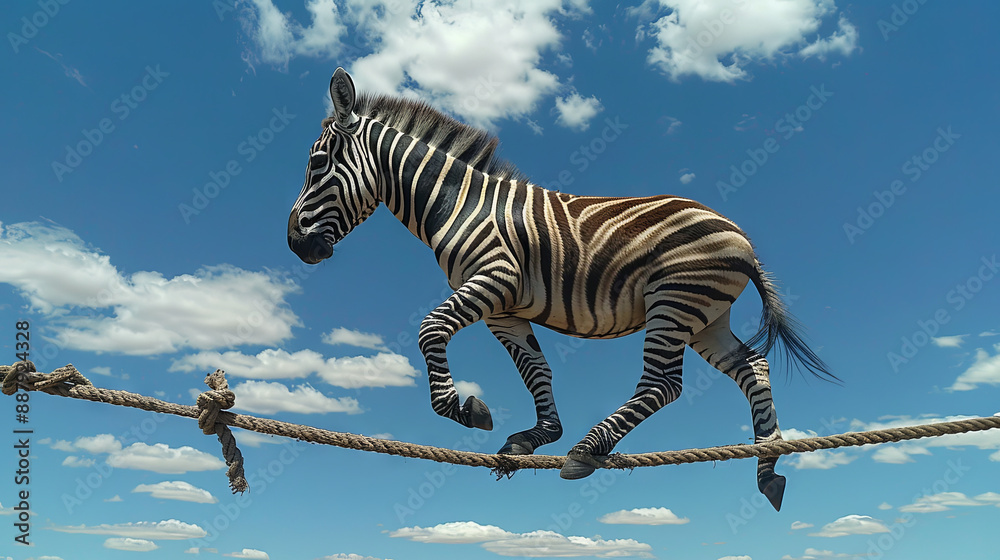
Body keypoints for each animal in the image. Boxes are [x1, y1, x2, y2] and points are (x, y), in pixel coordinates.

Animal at [288, 68, 836, 511]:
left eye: (316, 165)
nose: (295, 244)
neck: (458, 203)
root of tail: (741, 238)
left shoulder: (494, 278)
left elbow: (431, 328)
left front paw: (463, 409)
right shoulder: (504, 309)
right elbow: (536, 369)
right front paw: (536, 437)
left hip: (674, 300)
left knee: (663, 384)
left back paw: (589, 451)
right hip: (705, 317)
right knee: (753, 368)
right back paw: (768, 466)